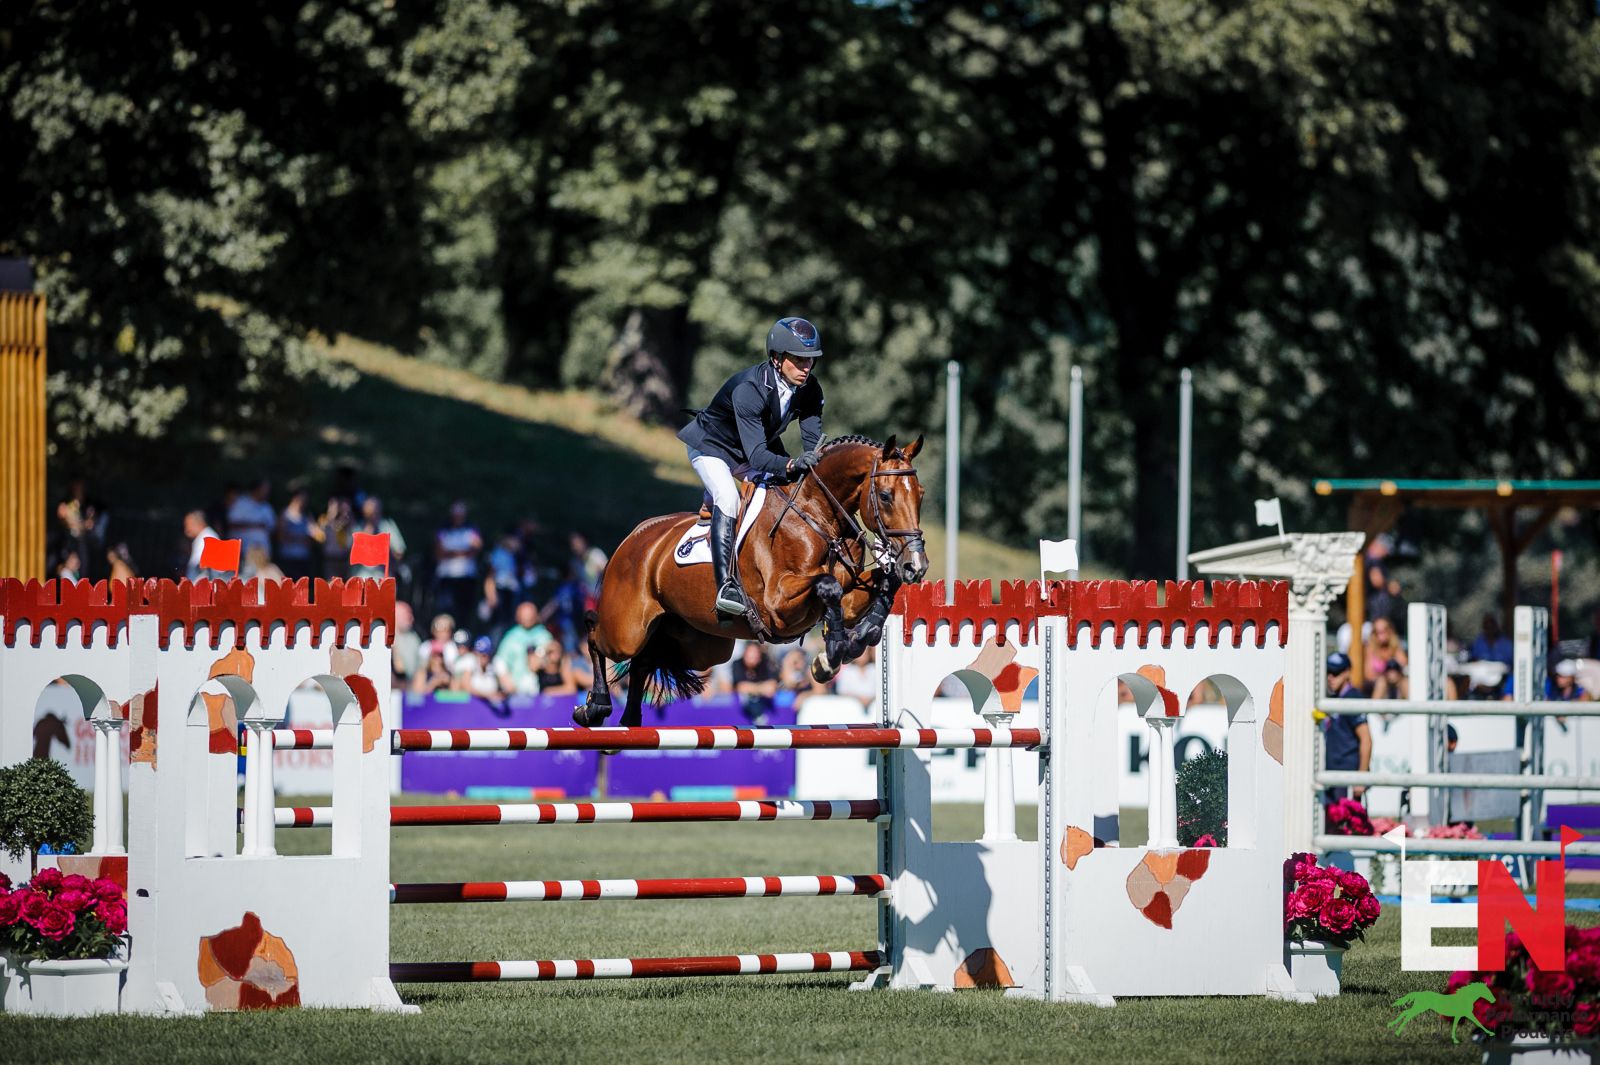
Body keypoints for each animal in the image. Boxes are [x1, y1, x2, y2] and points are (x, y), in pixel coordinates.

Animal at [575, 435, 928, 728]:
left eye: (921, 495)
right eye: (886, 496)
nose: (917, 566)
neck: (818, 515)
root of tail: (635, 536)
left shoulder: (849, 598)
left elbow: (884, 583)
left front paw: (860, 637)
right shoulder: (777, 605)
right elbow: (828, 584)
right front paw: (832, 655)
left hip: (703, 645)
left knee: (646, 659)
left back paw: (629, 720)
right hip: (627, 630)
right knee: (595, 633)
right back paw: (594, 708)